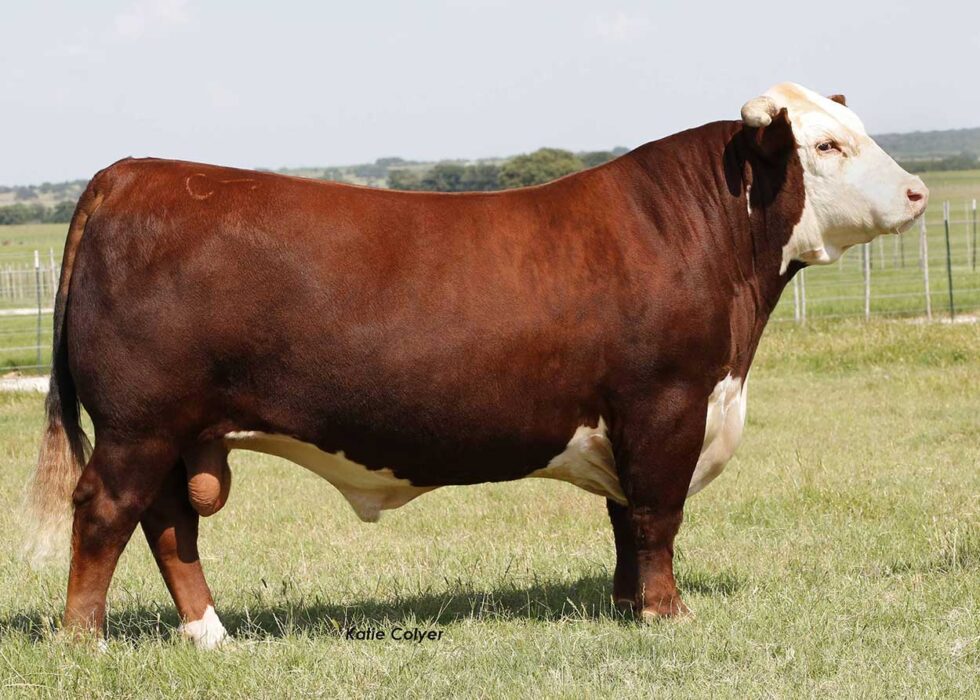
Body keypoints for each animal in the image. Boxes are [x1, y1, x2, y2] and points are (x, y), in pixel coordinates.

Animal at [25, 83, 927, 648]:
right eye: (827, 144)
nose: (919, 191)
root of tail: (130, 173)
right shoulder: (665, 404)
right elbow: (656, 518)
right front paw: (668, 615)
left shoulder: (629, 420)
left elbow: (623, 522)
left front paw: (627, 606)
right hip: (139, 424)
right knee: (105, 513)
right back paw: (84, 644)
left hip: (175, 431)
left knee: (170, 522)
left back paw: (211, 636)